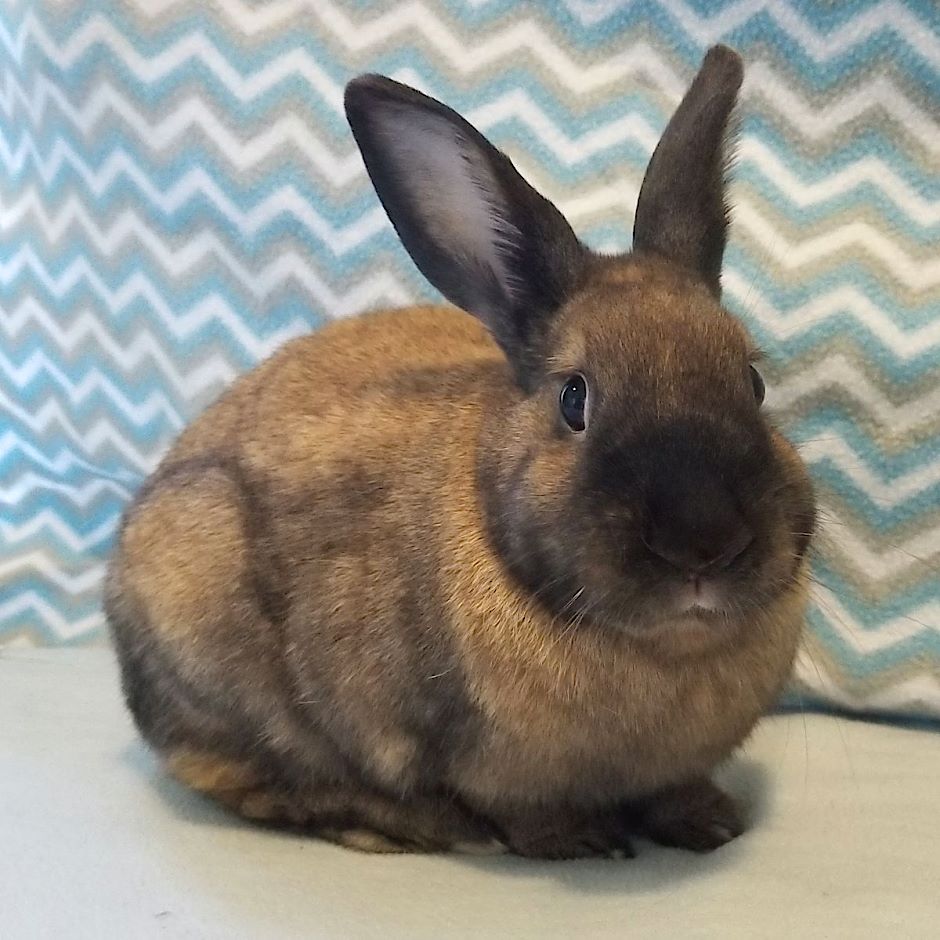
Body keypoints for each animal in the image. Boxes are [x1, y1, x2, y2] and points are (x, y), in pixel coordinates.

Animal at [106, 45, 816, 859]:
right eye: (575, 399)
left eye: (753, 382)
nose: (704, 540)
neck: (669, 650)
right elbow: (522, 811)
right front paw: (582, 840)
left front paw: (712, 822)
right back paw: (403, 823)